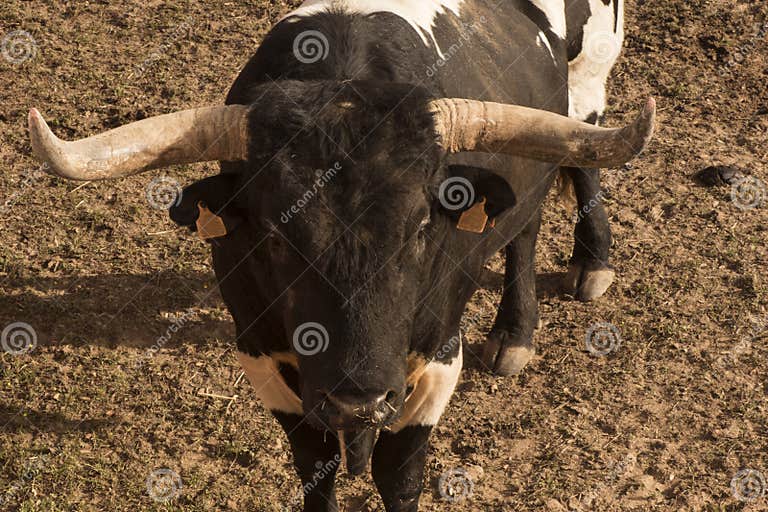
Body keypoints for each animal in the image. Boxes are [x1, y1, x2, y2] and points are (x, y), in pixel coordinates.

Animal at [28, 0, 652, 510]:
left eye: (421, 227)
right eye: (274, 238)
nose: (358, 401)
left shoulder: (436, 352)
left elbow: (399, 473)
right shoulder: (261, 351)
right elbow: (314, 464)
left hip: (588, 78)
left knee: (559, 176)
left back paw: (552, 298)